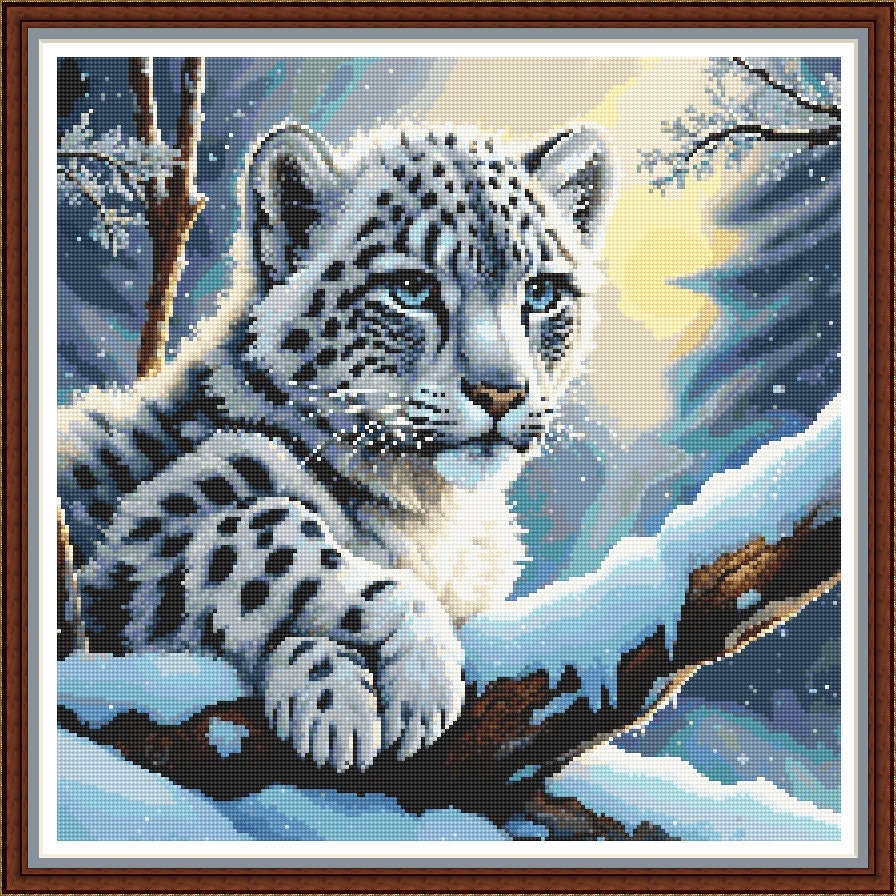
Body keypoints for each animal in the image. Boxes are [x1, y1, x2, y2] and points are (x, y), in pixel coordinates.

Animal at [58, 120, 614, 772]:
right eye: (410, 288)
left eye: (543, 292)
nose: (500, 392)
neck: (434, 512)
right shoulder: (132, 556)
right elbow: (279, 531)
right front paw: (395, 684)